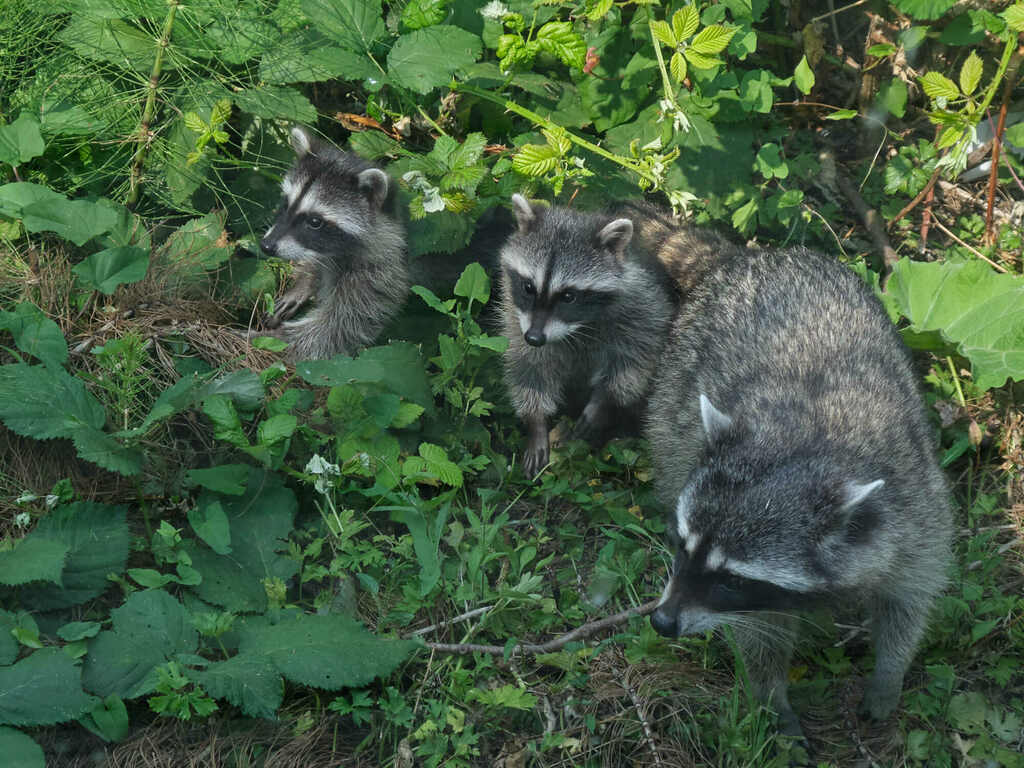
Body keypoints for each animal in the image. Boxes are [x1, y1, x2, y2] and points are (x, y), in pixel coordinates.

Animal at [258, 127, 410, 360]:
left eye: (315, 222)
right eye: (286, 204)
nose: (266, 245)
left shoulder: (382, 276)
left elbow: (332, 331)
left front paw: (262, 339)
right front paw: (306, 280)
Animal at [499, 195, 703, 477]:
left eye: (569, 296)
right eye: (528, 287)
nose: (535, 338)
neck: (577, 327)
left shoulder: (643, 305)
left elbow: (634, 362)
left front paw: (604, 401)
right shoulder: (517, 316)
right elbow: (528, 365)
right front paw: (536, 421)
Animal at [646, 246, 952, 738]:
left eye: (732, 580)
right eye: (681, 546)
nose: (661, 621)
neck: (808, 441)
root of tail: (758, 255)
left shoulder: (915, 505)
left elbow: (908, 598)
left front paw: (890, 671)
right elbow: (762, 632)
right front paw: (772, 695)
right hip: (671, 395)